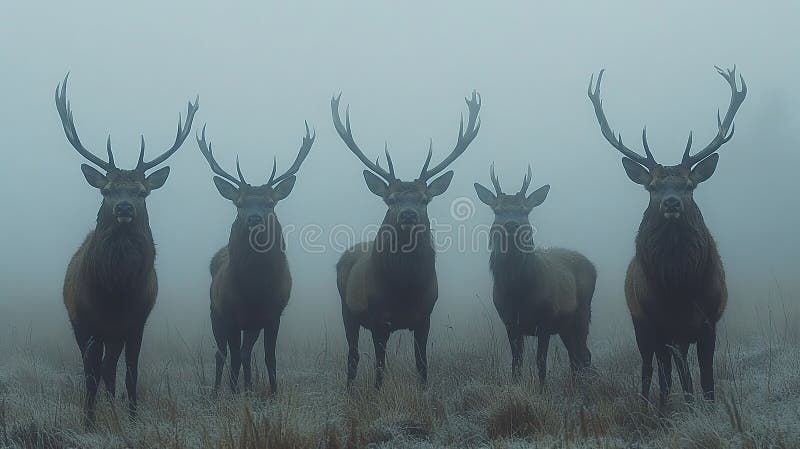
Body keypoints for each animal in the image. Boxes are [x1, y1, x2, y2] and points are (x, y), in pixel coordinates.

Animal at [57, 75, 198, 426]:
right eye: (106, 190)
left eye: (143, 192)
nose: (123, 207)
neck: (116, 293)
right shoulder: (86, 322)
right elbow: (90, 375)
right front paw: (88, 422)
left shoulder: (137, 322)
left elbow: (131, 375)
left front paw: (133, 418)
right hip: (84, 327)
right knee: (97, 369)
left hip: (116, 335)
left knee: (110, 368)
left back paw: (113, 405)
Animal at [197, 122, 314, 395]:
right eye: (239, 204)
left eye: (271, 204)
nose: (254, 218)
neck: (254, 289)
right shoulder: (229, 315)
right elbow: (232, 356)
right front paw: (232, 392)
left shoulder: (272, 315)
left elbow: (269, 357)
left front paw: (272, 392)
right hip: (214, 312)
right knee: (222, 353)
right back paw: (218, 391)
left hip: (252, 324)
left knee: (245, 352)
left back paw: (248, 386)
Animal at [332, 91, 481, 389]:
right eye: (391, 200)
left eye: (424, 200)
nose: (409, 214)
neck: (404, 290)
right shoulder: (378, 320)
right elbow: (379, 369)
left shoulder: (425, 318)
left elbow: (422, 366)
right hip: (347, 310)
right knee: (352, 355)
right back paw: (349, 390)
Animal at [474, 165, 596, 390]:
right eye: (497, 210)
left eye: (525, 211)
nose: (511, 225)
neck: (518, 293)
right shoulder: (510, 322)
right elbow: (517, 362)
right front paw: (516, 386)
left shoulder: (546, 319)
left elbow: (541, 361)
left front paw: (542, 390)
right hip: (566, 325)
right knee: (577, 355)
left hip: (583, 313)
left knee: (584, 354)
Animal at [587, 66, 746, 404]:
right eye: (652, 187)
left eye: (689, 185)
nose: (671, 203)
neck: (678, 288)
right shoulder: (654, 323)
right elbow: (663, 377)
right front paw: (663, 409)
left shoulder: (708, 322)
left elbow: (707, 379)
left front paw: (706, 408)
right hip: (641, 325)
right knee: (651, 368)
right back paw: (648, 402)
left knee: (681, 365)